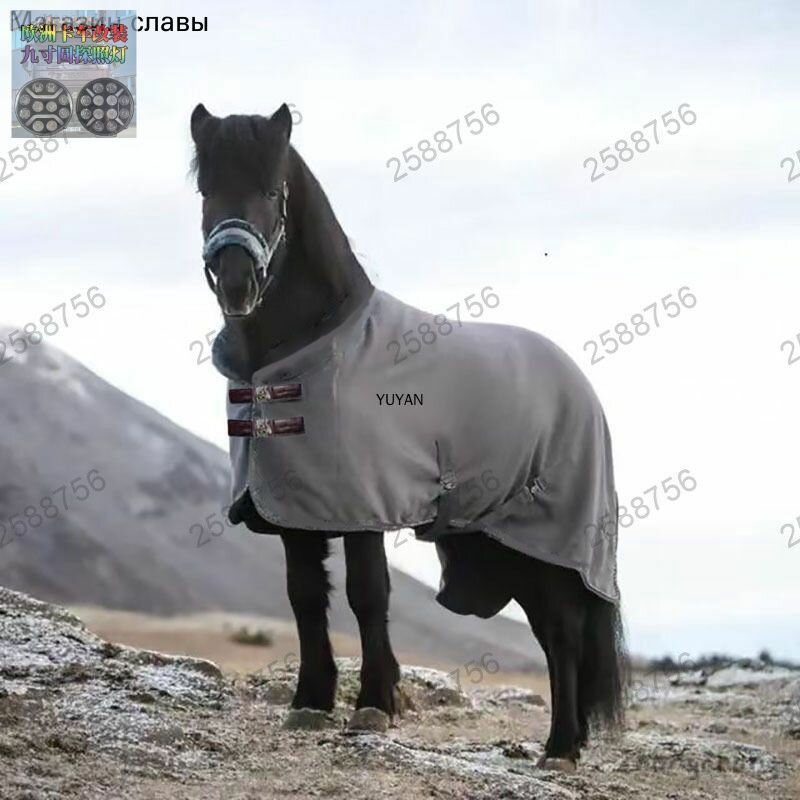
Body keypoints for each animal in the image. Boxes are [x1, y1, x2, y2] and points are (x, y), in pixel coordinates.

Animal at [190, 101, 628, 771]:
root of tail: (579, 385)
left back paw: (559, 748)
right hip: (512, 546)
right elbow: (304, 596)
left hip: (552, 539)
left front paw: (373, 703)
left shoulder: (364, 505)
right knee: (557, 635)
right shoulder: (295, 511)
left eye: (271, 191)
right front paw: (311, 702)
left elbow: (368, 594)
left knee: (562, 631)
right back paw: (569, 741)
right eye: (206, 189)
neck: (309, 349)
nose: (236, 281)